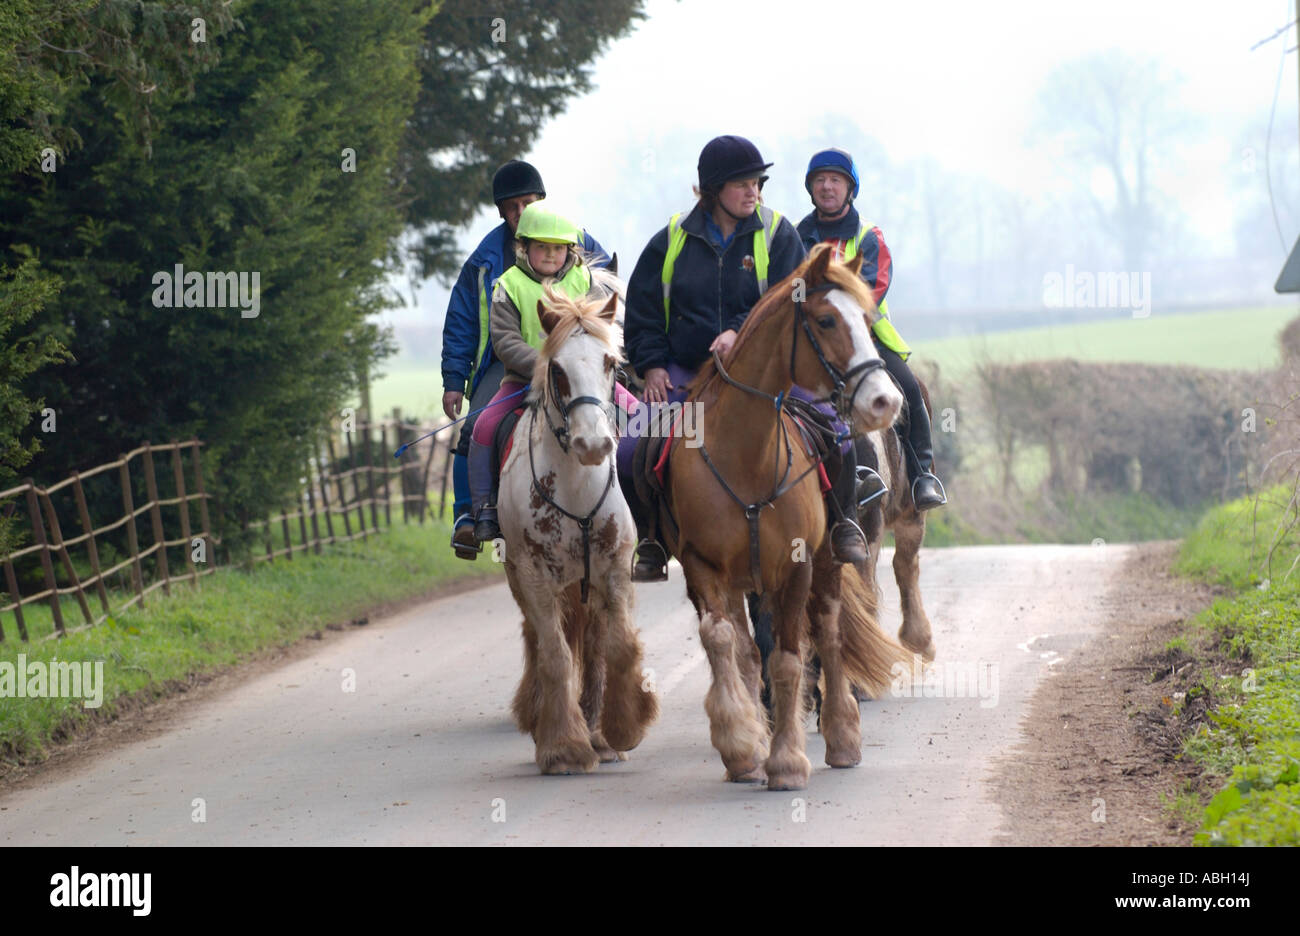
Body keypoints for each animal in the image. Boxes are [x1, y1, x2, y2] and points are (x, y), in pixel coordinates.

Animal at [497, 277, 659, 775]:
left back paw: (597, 732)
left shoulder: (613, 570)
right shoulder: (534, 577)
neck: (573, 488)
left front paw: (621, 729)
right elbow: (554, 654)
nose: (593, 445)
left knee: (593, 643)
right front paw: (563, 747)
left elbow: (616, 647)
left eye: (610, 363)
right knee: (542, 642)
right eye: (558, 370)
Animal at [652, 244, 913, 790]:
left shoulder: (796, 567)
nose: (886, 401)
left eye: (869, 319)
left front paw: (788, 760)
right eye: (826, 319)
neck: (746, 456)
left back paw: (842, 735)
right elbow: (725, 643)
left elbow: (791, 659)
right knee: (748, 652)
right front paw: (740, 743)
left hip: (831, 559)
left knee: (829, 634)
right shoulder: (704, 568)